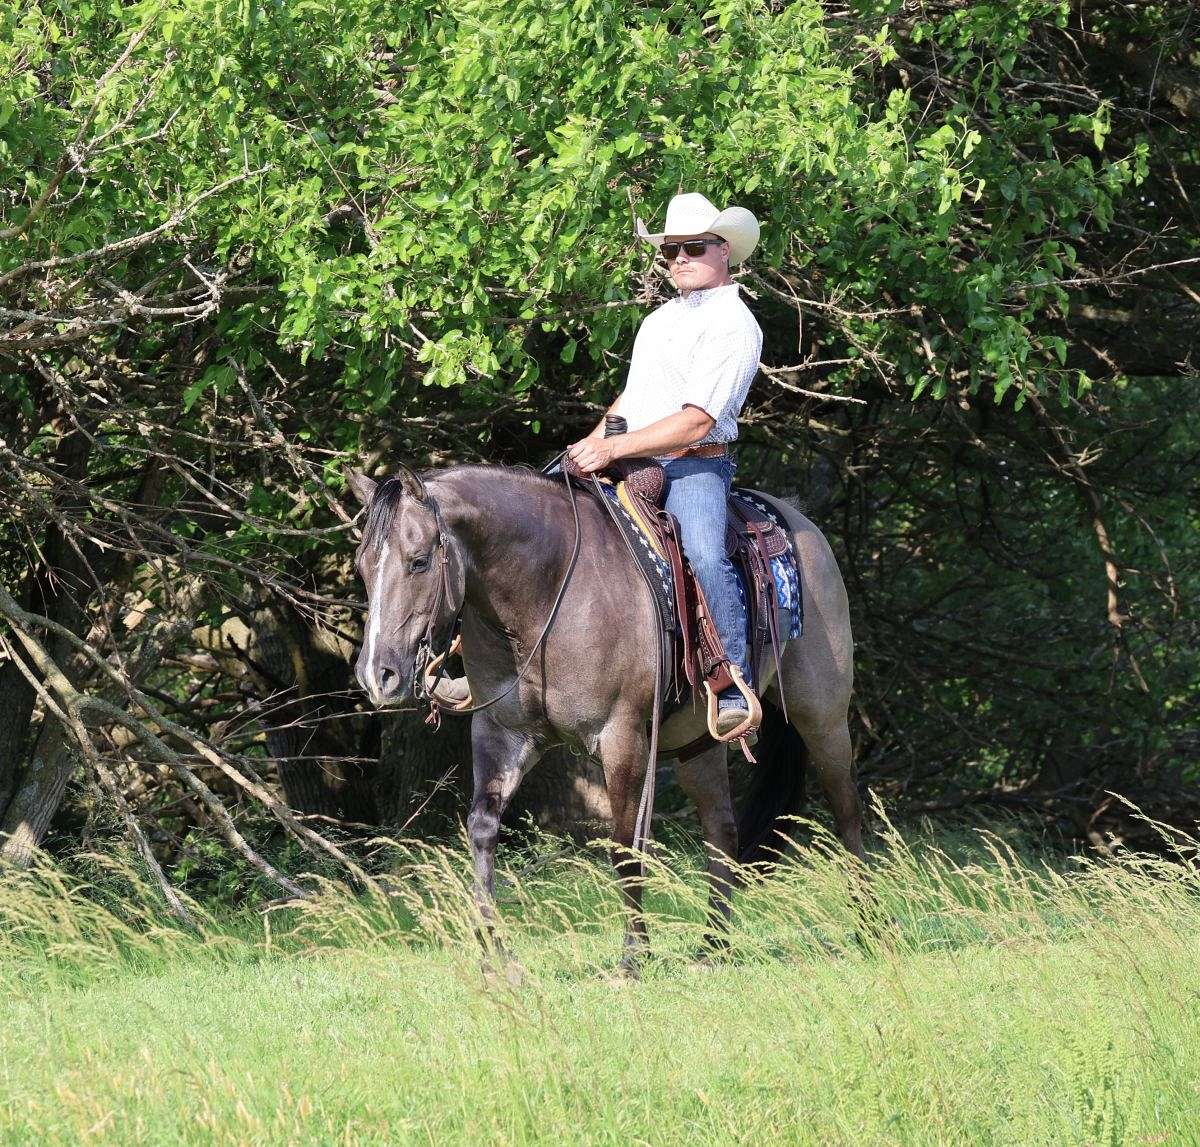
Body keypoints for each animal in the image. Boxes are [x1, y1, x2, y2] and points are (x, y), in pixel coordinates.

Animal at [346, 463, 863, 973]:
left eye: (418, 561)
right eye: (363, 567)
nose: (377, 675)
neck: (547, 590)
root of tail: (793, 518)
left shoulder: (622, 738)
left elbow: (625, 846)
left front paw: (634, 957)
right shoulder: (502, 733)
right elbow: (482, 829)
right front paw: (496, 954)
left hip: (822, 717)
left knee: (847, 812)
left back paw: (867, 926)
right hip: (698, 744)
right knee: (723, 831)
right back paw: (712, 948)